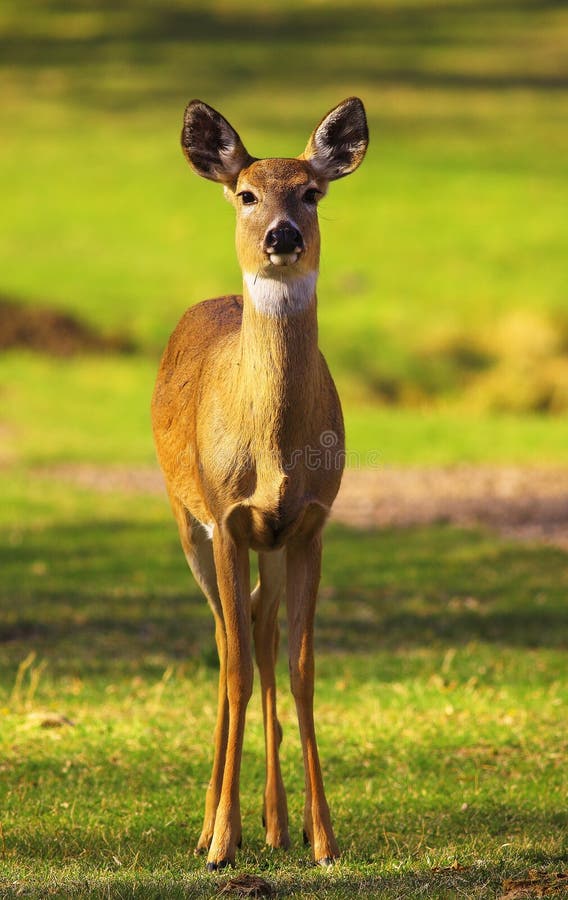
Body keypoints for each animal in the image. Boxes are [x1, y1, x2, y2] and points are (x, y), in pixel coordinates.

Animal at [151, 97, 368, 871]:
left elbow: (302, 667)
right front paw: (221, 842)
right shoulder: (224, 515)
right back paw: (211, 827)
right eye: (246, 193)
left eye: (312, 191)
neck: (272, 454)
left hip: (267, 545)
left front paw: (324, 838)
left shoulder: (310, 522)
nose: (282, 234)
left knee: (261, 628)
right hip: (185, 519)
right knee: (226, 642)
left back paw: (276, 826)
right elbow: (238, 667)